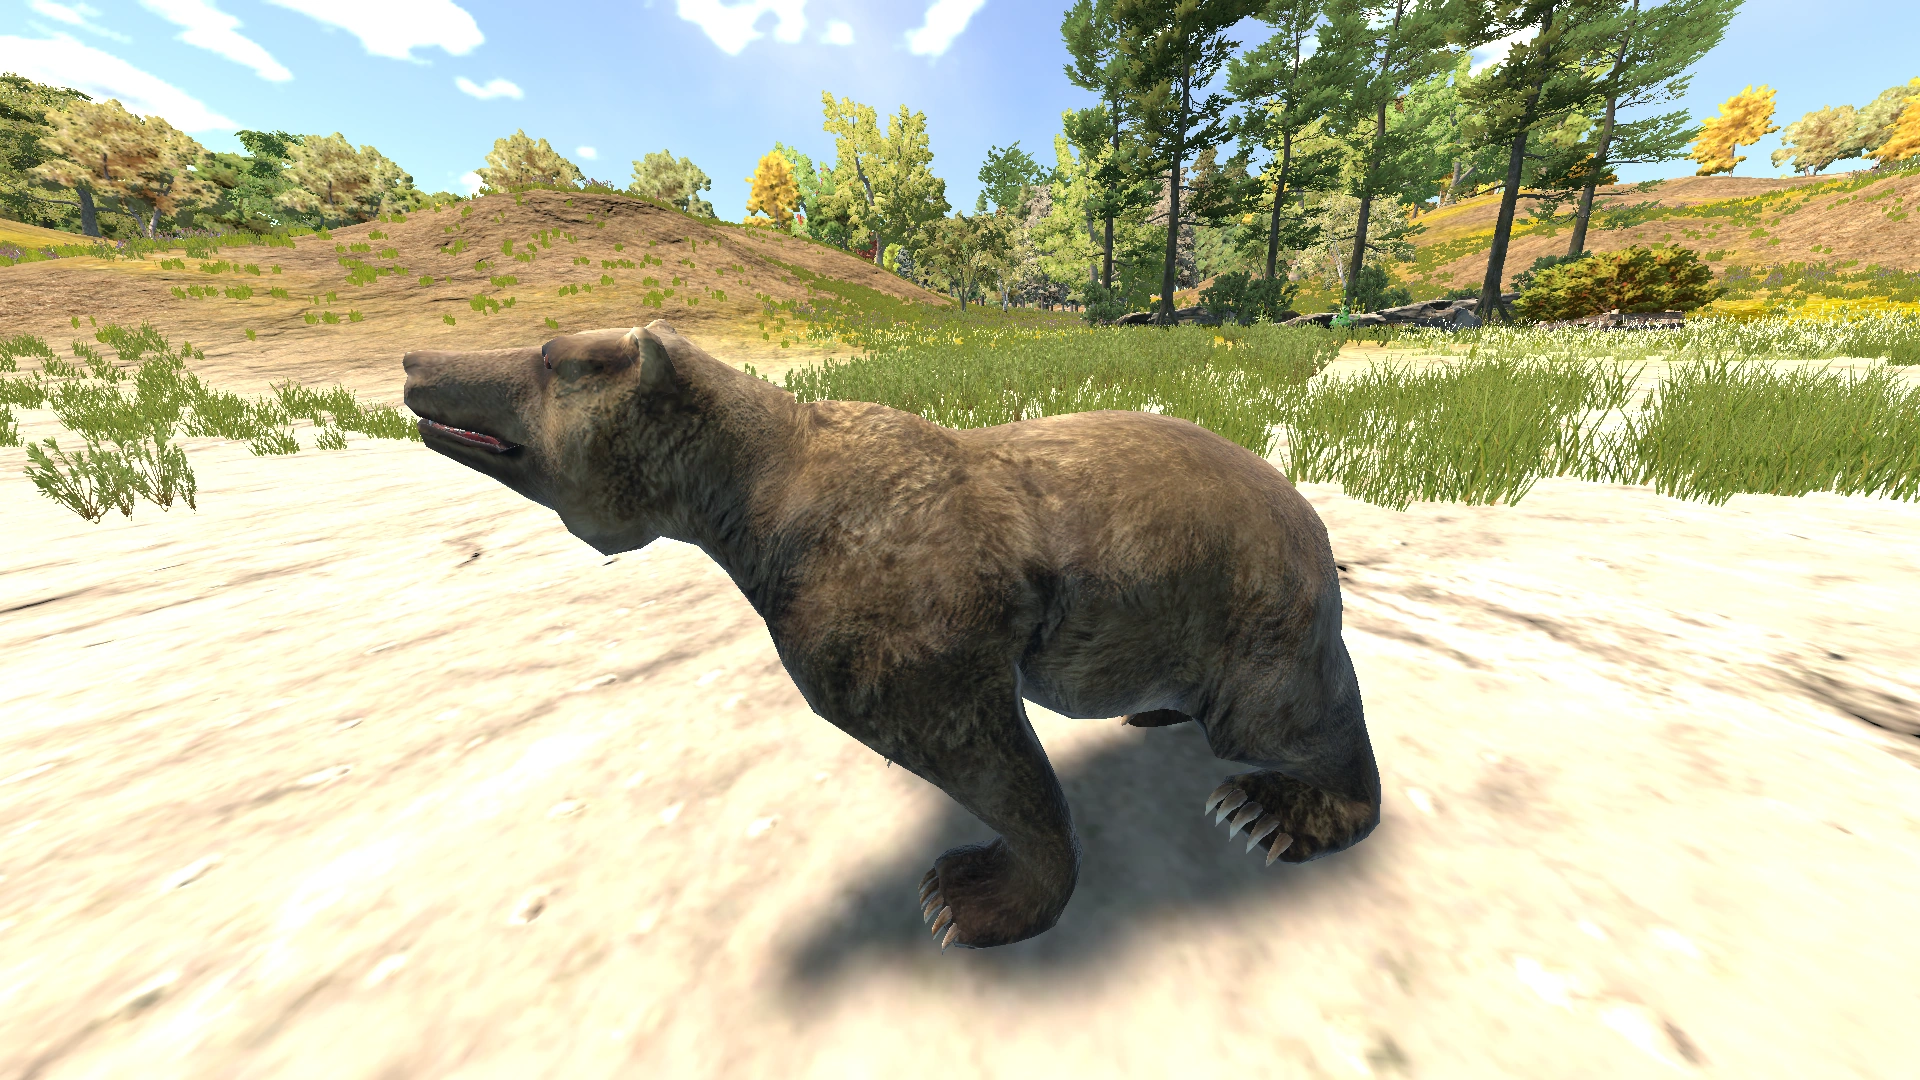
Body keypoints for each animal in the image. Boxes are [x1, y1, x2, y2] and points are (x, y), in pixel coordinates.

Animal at [401, 321, 1381, 950]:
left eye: (546, 358)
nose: (414, 360)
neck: (750, 502)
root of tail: (1307, 509)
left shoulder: (903, 607)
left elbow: (981, 750)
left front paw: (969, 896)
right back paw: (1155, 715)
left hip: (1243, 602)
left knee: (1285, 716)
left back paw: (1273, 807)